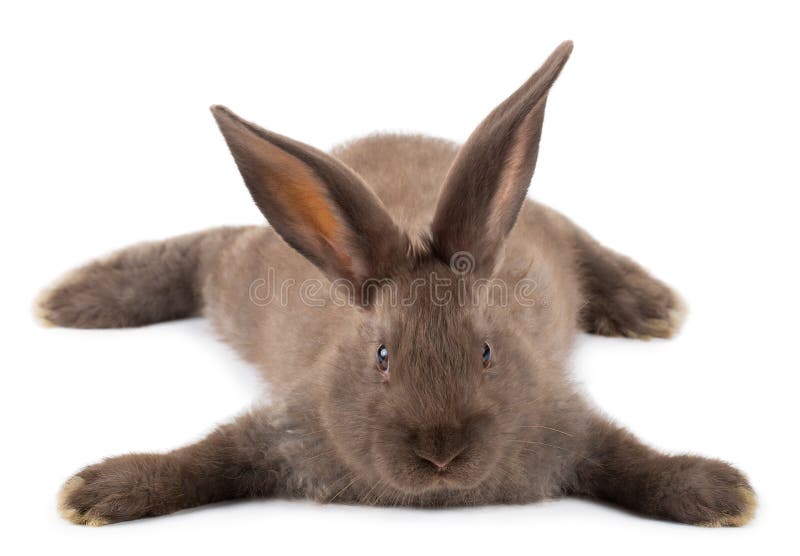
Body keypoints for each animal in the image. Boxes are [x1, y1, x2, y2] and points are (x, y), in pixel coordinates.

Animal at [39, 40, 755, 527]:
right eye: (381, 355)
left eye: (486, 351)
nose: (441, 453)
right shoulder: (283, 429)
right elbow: (205, 459)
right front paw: (98, 491)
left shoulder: (572, 425)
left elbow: (633, 460)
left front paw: (722, 491)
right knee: (207, 250)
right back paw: (74, 298)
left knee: (582, 241)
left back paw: (648, 305)